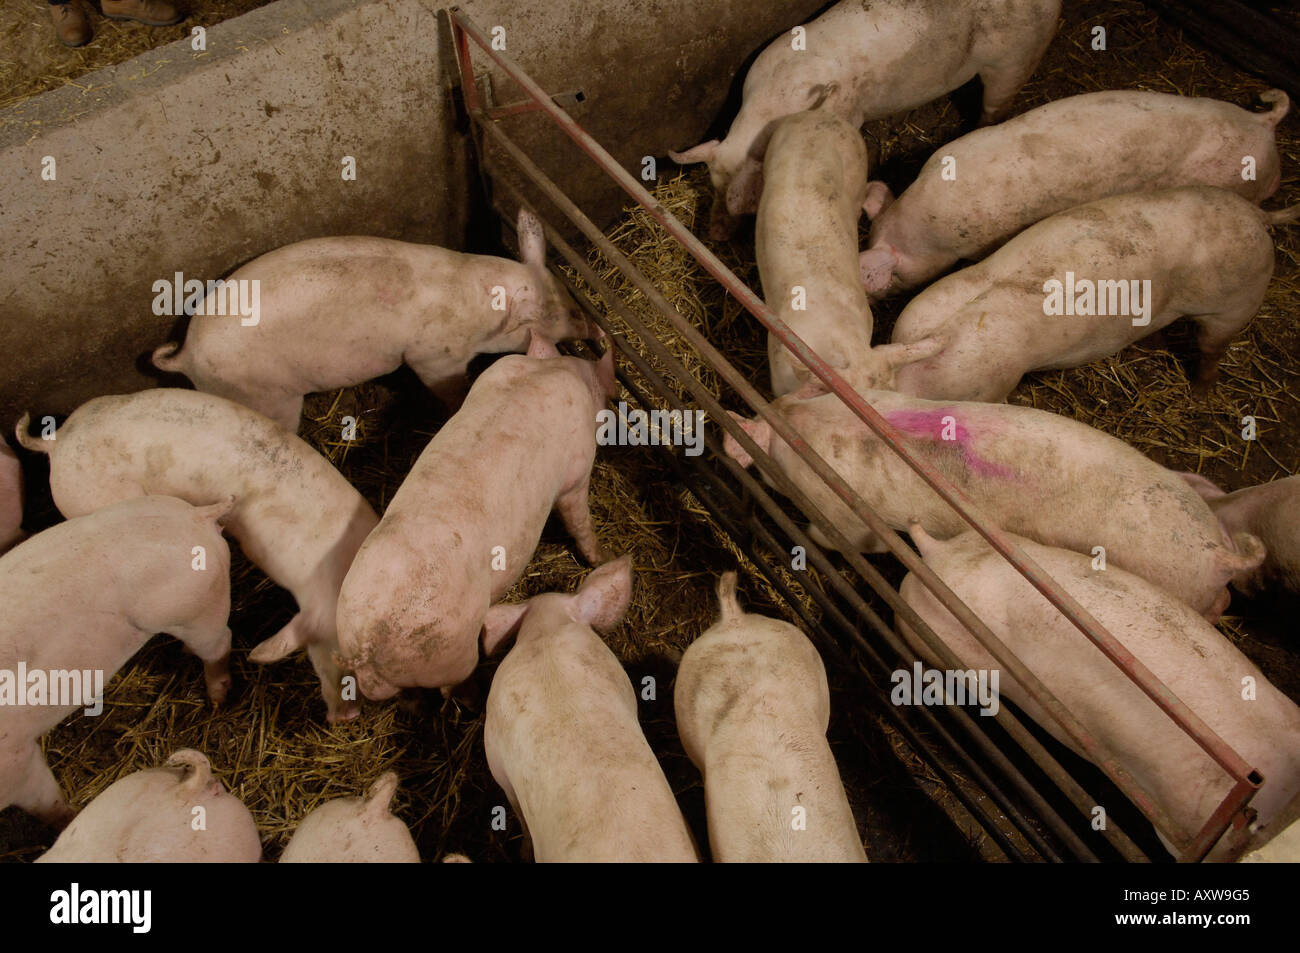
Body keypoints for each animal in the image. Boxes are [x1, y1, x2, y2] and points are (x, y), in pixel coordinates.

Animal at [0, 497, 233, 826]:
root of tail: (197, 516)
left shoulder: (15, 760)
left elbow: (46, 802)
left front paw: (70, 819)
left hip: (197, 614)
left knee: (221, 643)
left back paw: (217, 698)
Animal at [150, 208, 596, 432]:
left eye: (570, 299)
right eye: (567, 313)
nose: (594, 331)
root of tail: (186, 354)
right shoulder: (433, 357)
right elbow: (449, 388)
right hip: (264, 396)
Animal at [336, 336, 615, 699]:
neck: (556, 370)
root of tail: (367, 644)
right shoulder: (576, 474)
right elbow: (579, 521)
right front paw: (603, 556)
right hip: (454, 651)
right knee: (451, 685)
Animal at [670, 0, 1061, 238]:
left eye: (745, 195)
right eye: (714, 184)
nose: (715, 234)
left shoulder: (849, 111)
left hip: (1015, 61)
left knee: (995, 106)